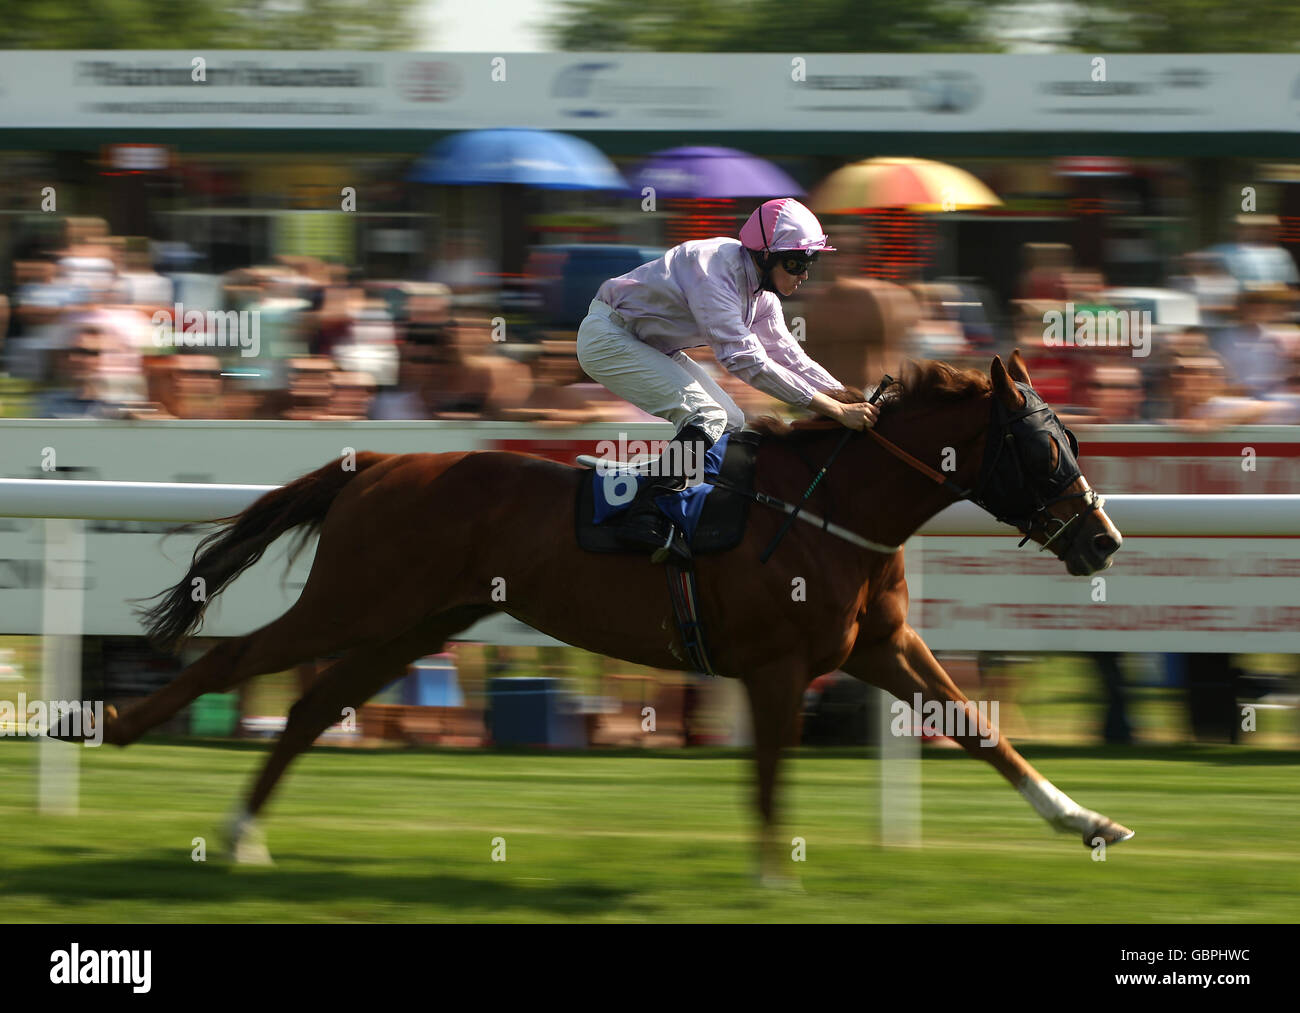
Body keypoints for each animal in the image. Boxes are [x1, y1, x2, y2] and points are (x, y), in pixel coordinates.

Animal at [75, 350, 1132, 878]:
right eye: (1044, 447)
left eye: (1074, 438)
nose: (1104, 540)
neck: (834, 507)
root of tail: (377, 462)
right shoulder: (778, 666)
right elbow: (769, 777)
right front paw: (772, 878)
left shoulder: (878, 645)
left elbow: (981, 729)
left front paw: (1087, 821)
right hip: (356, 599)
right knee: (234, 661)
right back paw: (117, 728)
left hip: (413, 623)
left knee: (304, 709)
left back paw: (243, 834)